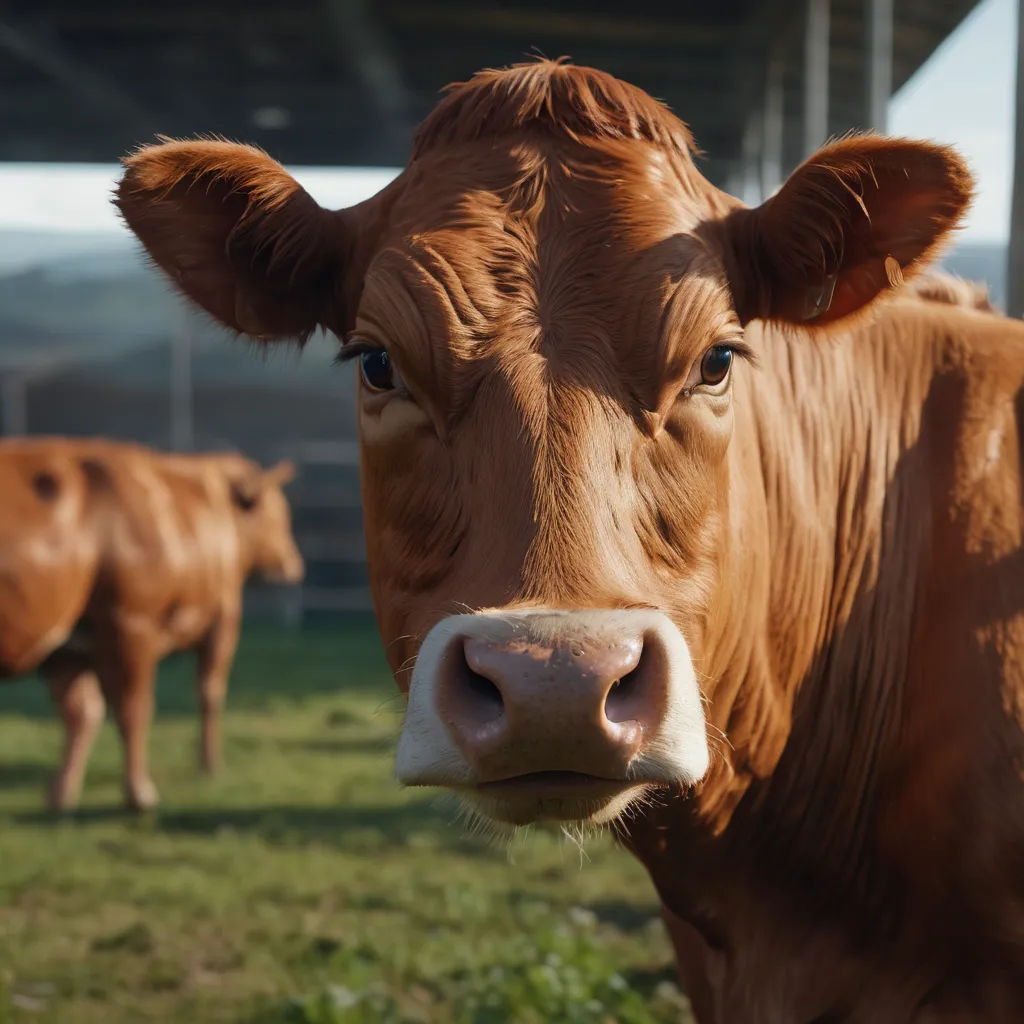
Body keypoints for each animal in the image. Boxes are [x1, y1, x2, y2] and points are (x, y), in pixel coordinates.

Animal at [0, 438, 304, 811]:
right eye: (278, 514)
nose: (294, 563)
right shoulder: (146, 623)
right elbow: (151, 705)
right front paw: (143, 791)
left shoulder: (69, 642)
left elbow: (82, 712)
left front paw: (61, 794)